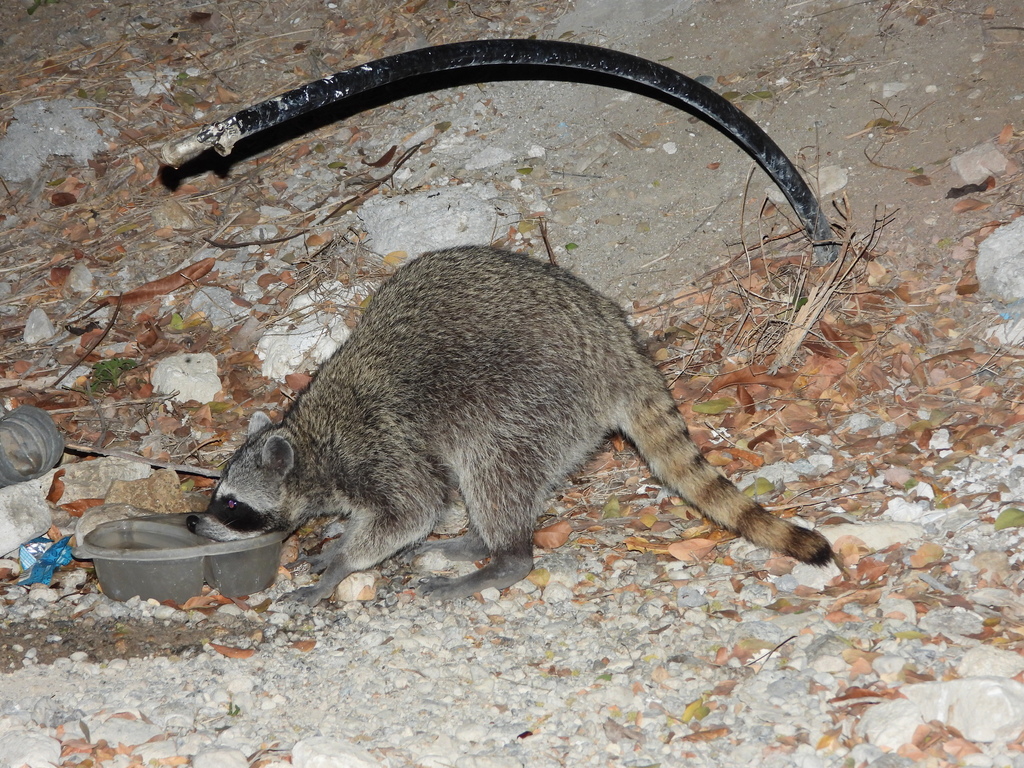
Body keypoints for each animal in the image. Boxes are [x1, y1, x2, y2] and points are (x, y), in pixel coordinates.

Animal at [187, 246, 835, 603]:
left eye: (232, 504)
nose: (194, 522)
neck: (309, 439)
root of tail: (618, 349)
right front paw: (340, 540)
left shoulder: (375, 444)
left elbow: (413, 506)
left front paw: (345, 563)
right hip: (563, 419)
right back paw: (483, 540)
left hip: (531, 393)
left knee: (489, 462)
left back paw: (505, 557)